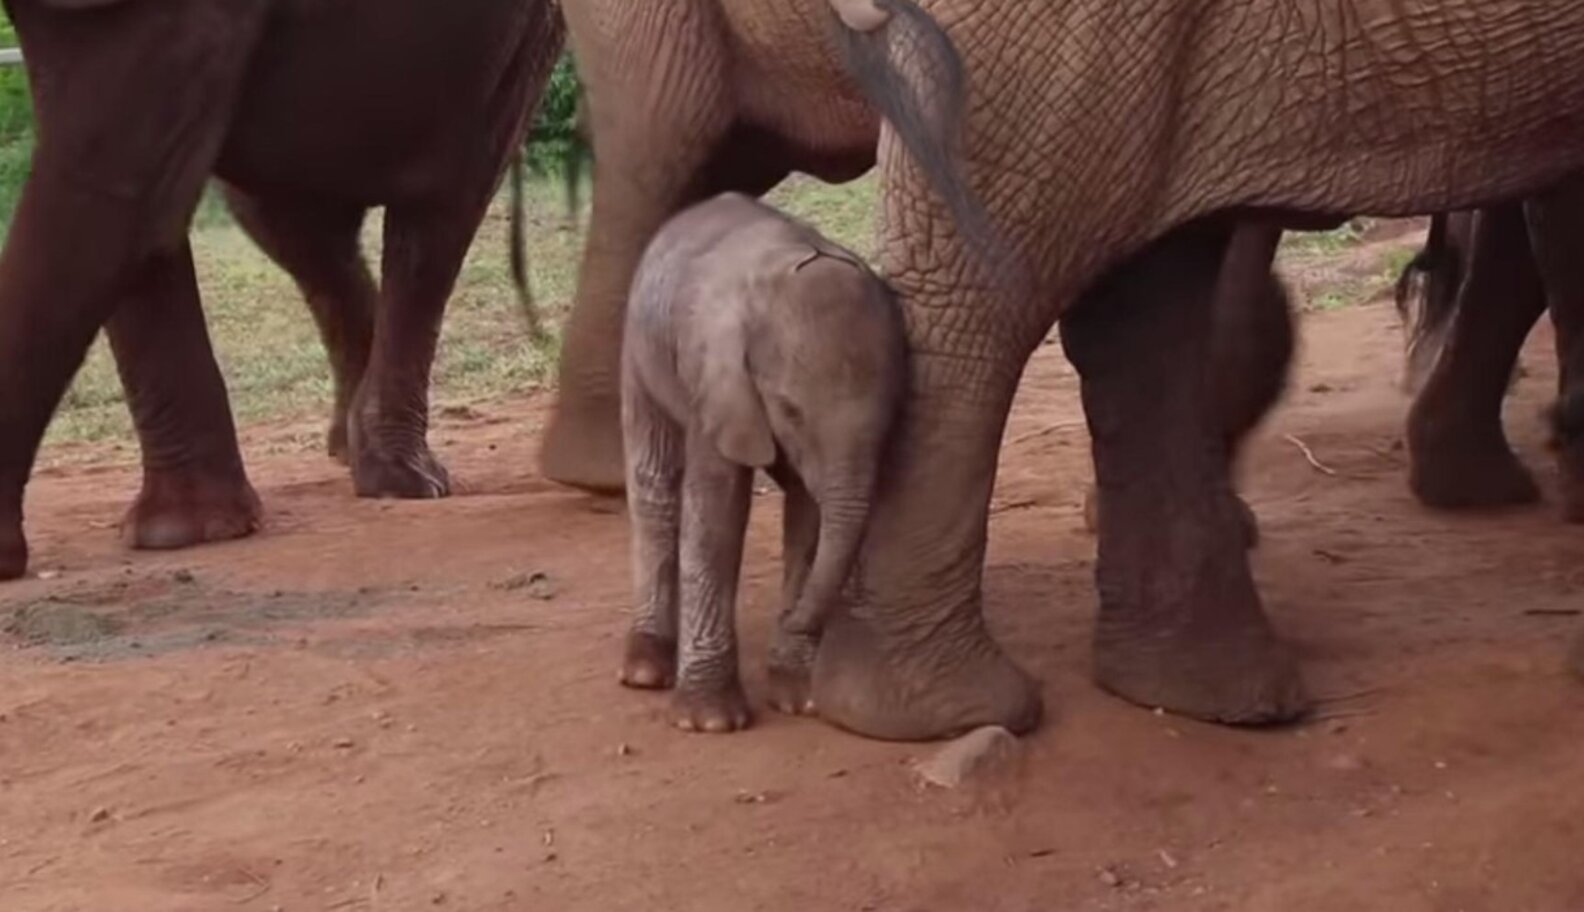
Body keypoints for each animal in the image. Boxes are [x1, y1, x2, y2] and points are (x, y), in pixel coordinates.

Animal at [0, 0, 564, 581]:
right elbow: (140, 200)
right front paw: (185, 536)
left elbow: (120, 185)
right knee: (301, 233)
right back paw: (352, 451)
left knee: (437, 216)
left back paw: (401, 480)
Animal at [618, 192, 906, 733]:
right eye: (790, 410)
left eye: (891, 419)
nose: (798, 619)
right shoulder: (714, 379)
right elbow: (717, 515)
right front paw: (710, 722)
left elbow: (809, 518)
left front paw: (801, 698)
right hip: (637, 348)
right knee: (654, 486)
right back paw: (645, 671)